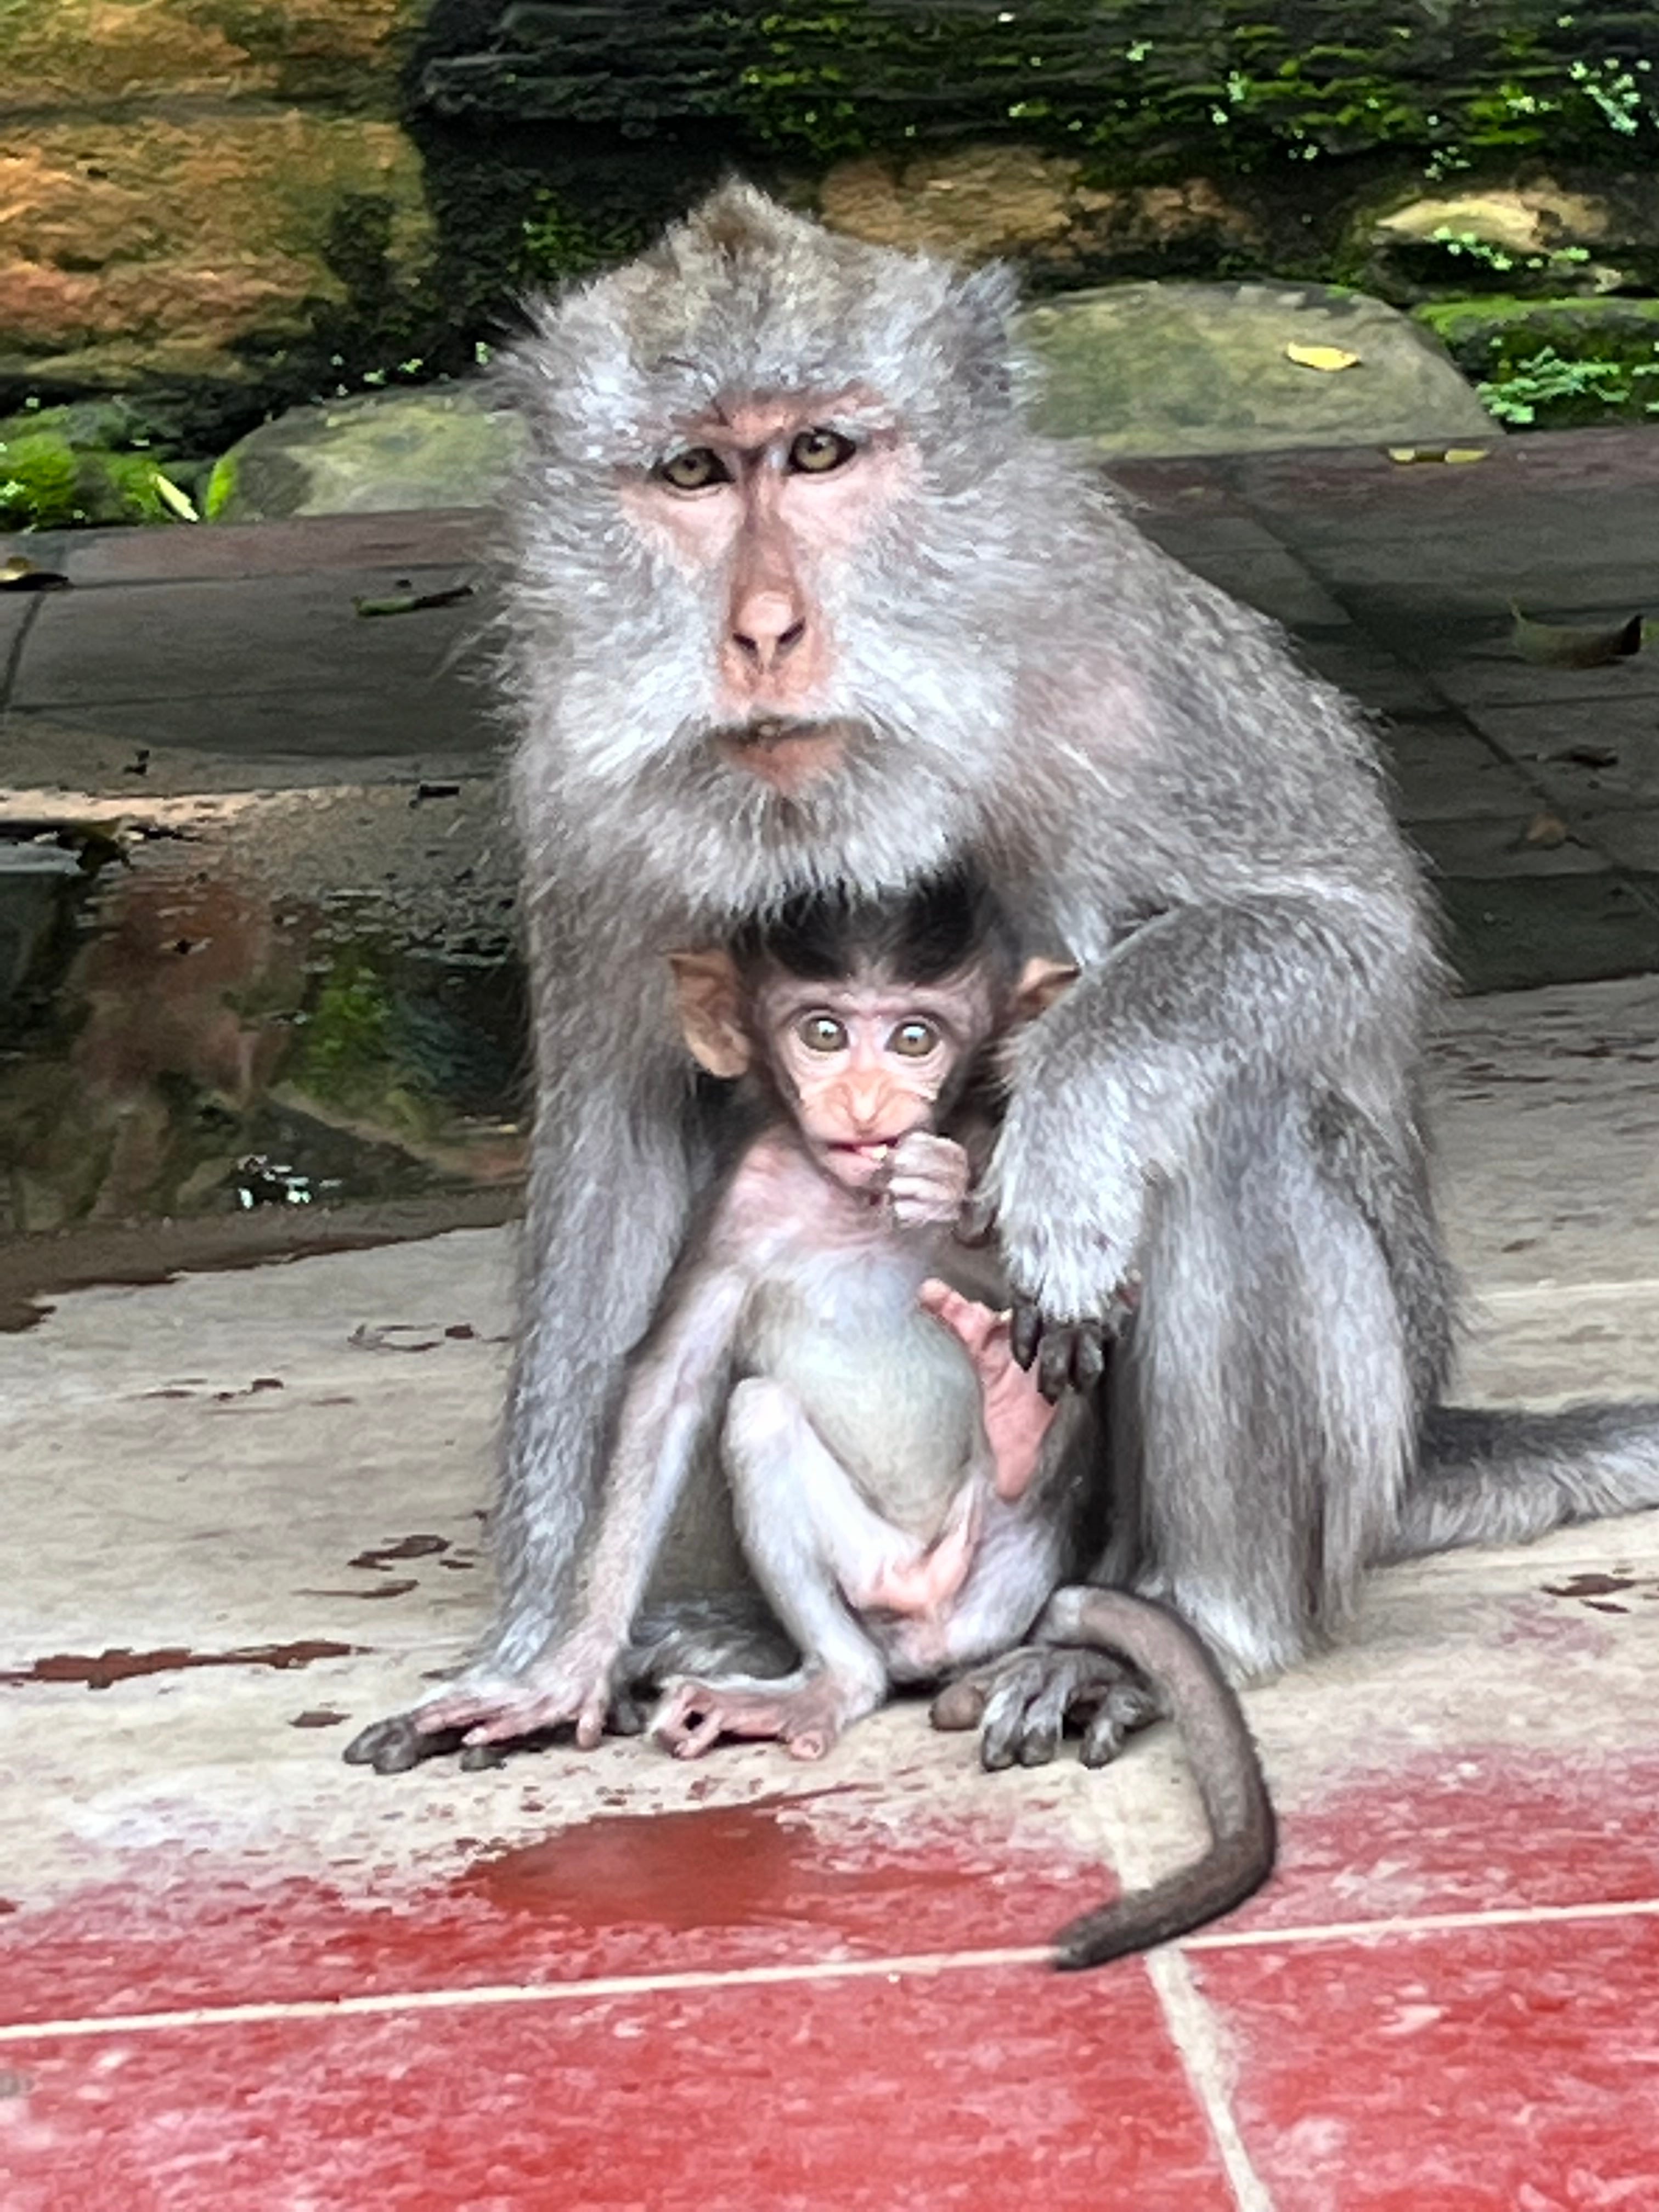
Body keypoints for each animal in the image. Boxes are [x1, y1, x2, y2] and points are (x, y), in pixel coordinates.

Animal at [345, 180, 1659, 1784]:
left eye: (823, 453)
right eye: (696, 472)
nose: (763, 631)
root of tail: (1420, 1440)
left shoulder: (1106, 662)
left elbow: (1341, 929)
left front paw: (1064, 1139)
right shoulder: (577, 793)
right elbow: (615, 1144)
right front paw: (544, 1647)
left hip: (1336, 1443)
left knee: (1243, 1117)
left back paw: (1188, 1624)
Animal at [413, 873, 1277, 1967]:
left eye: (913, 1038)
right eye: (823, 1031)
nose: (864, 1104)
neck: (854, 1201)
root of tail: (949, 1628)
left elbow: (1090, 1306)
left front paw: (951, 1196)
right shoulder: (741, 1199)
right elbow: (671, 1384)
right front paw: (568, 1674)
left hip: (1014, 1560)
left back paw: (1015, 1425)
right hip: (877, 1585)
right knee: (759, 1415)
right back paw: (833, 1679)